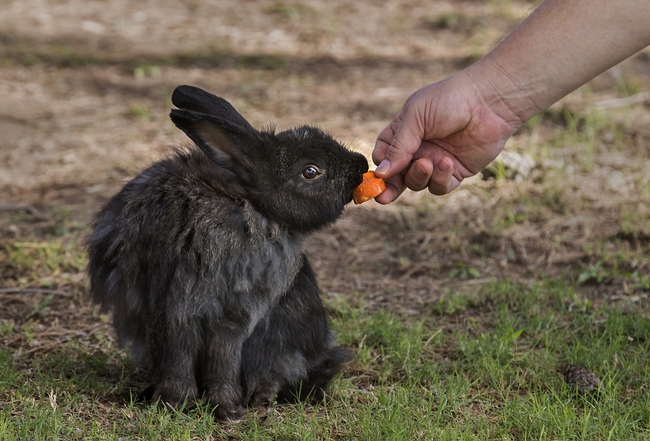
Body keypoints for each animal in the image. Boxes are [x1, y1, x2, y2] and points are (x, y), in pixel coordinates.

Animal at [86, 85, 368, 421]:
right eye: (310, 171)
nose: (362, 165)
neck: (253, 207)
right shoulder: (199, 307)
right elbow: (202, 356)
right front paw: (205, 407)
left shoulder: (205, 312)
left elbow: (203, 356)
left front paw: (204, 406)